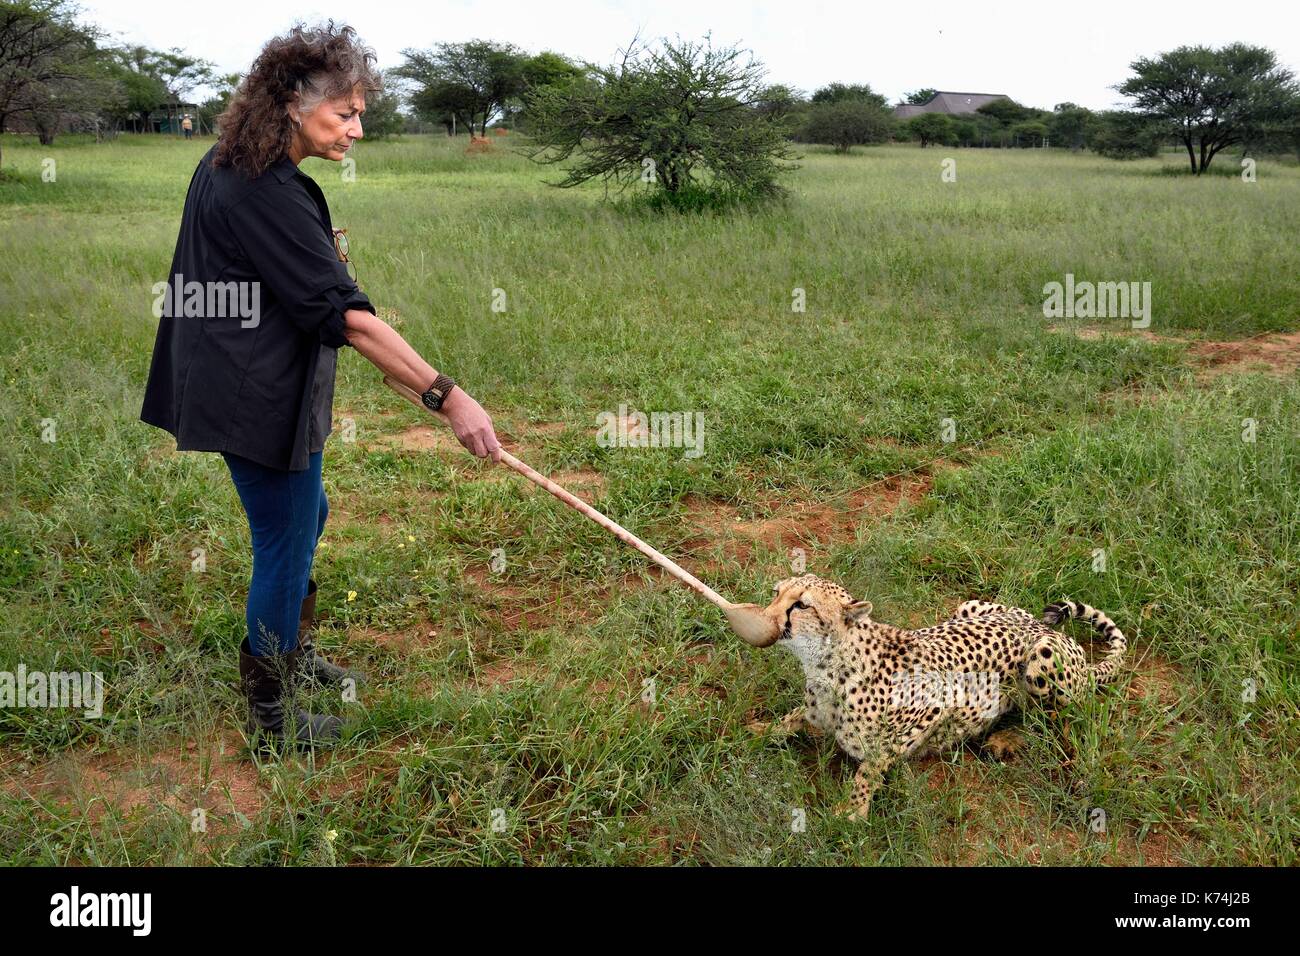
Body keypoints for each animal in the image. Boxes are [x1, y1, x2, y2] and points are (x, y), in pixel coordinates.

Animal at [748, 574, 1126, 819]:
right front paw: (761, 731)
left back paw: (1007, 739)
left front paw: (853, 808)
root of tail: (1044, 627)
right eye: (777, 593)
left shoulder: (935, 704)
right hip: (968, 606)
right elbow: (795, 717)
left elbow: (872, 764)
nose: (764, 616)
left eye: (801, 605)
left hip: (1043, 660)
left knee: (1058, 720)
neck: (827, 664)